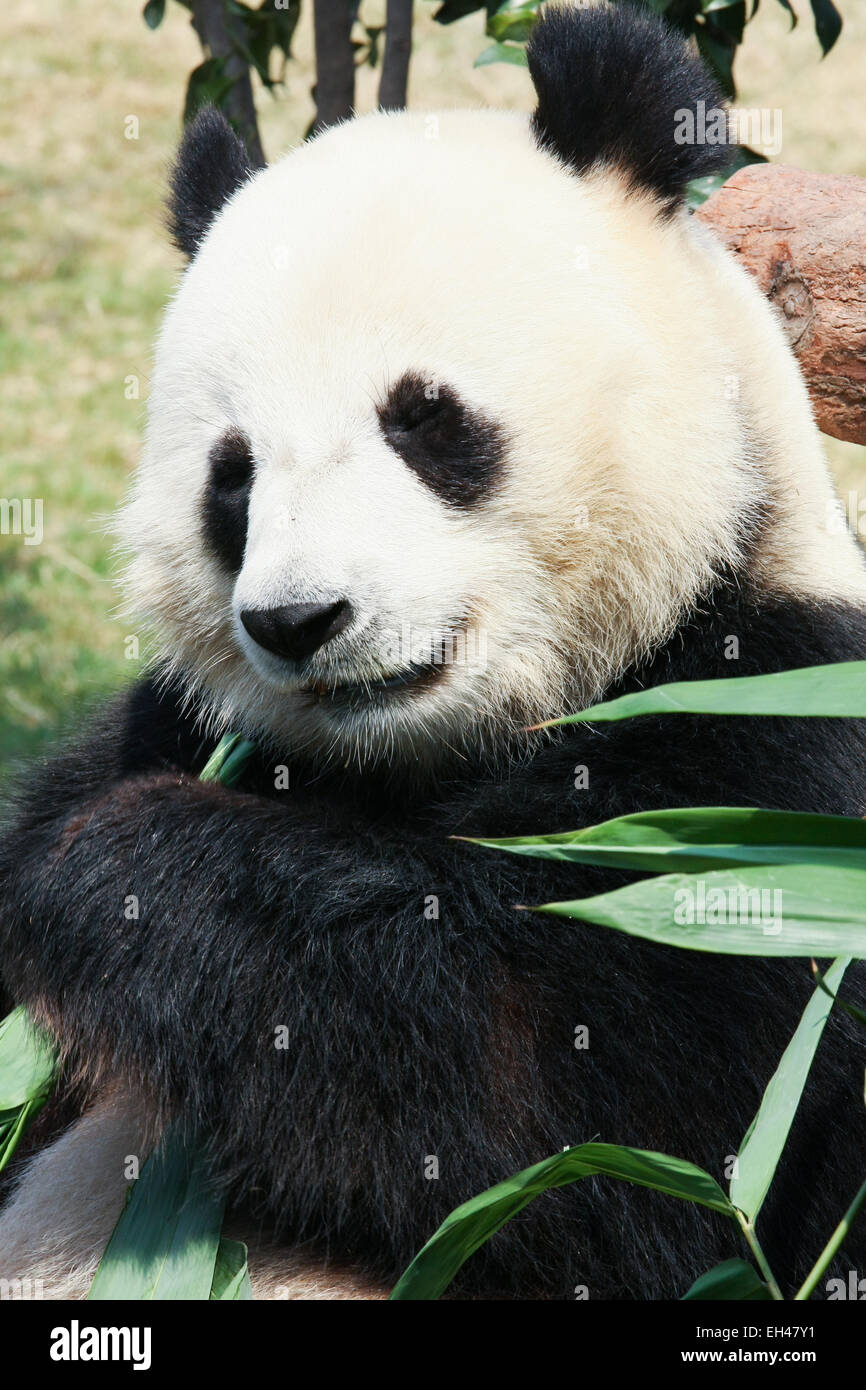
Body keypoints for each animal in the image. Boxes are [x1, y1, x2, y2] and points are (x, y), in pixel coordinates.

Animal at [1, 2, 865, 1302]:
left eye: (424, 421)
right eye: (231, 476)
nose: (298, 620)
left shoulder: (773, 753)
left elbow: (606, 1129)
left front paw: (118, 861)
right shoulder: (172, 720)